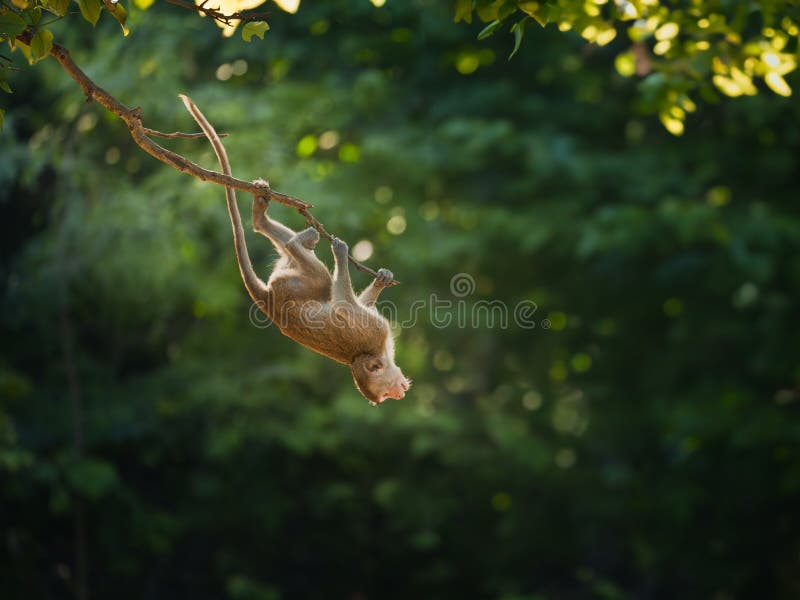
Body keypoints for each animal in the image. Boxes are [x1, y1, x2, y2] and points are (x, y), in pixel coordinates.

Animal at [182, 96, 410, 404]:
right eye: (385, 393)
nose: (400, 394)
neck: (367, 354)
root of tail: (268, 301)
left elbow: (352, 301)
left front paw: (380, 281)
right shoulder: (371, 330)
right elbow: (343, 302)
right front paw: (341, 254)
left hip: (285, 277)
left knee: (293, 256)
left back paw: (264, 220)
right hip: (293, 284)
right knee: (321, 277)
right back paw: (300, 240)